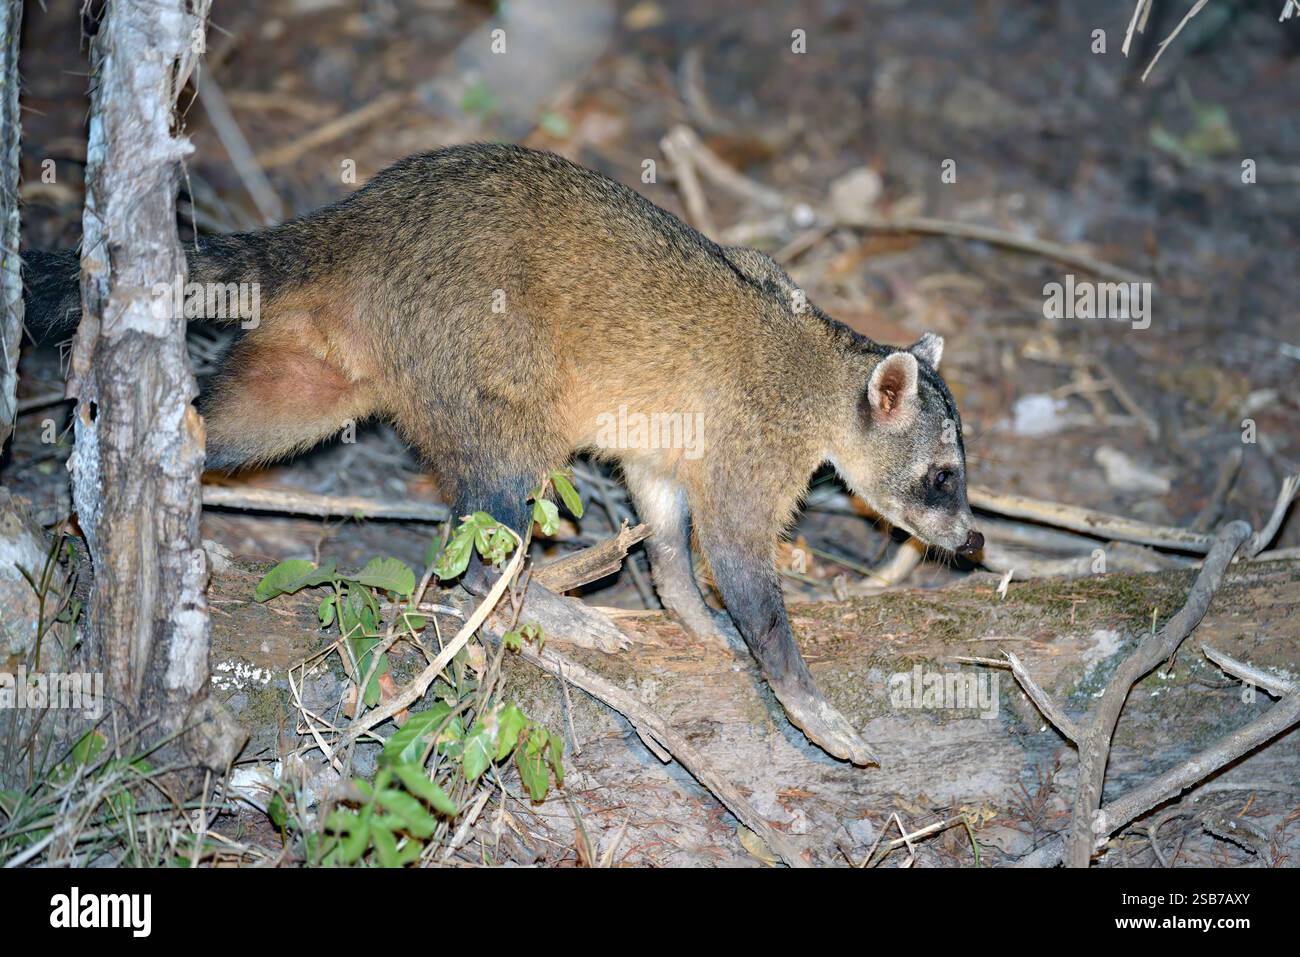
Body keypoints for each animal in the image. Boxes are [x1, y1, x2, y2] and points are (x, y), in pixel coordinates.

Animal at [24, 143, 982, 765]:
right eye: (941, 477)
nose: (973, 542)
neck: (827, 363)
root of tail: (353, 224)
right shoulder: (754, 437)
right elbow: (739, 558)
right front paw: (803, 696)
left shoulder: (675, 441)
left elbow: (666, 523)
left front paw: (684, 604)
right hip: (479, 355)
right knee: (494, 502)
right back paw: (526, 598)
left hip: (320, 362)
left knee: (233, 422)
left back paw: (144, 474)